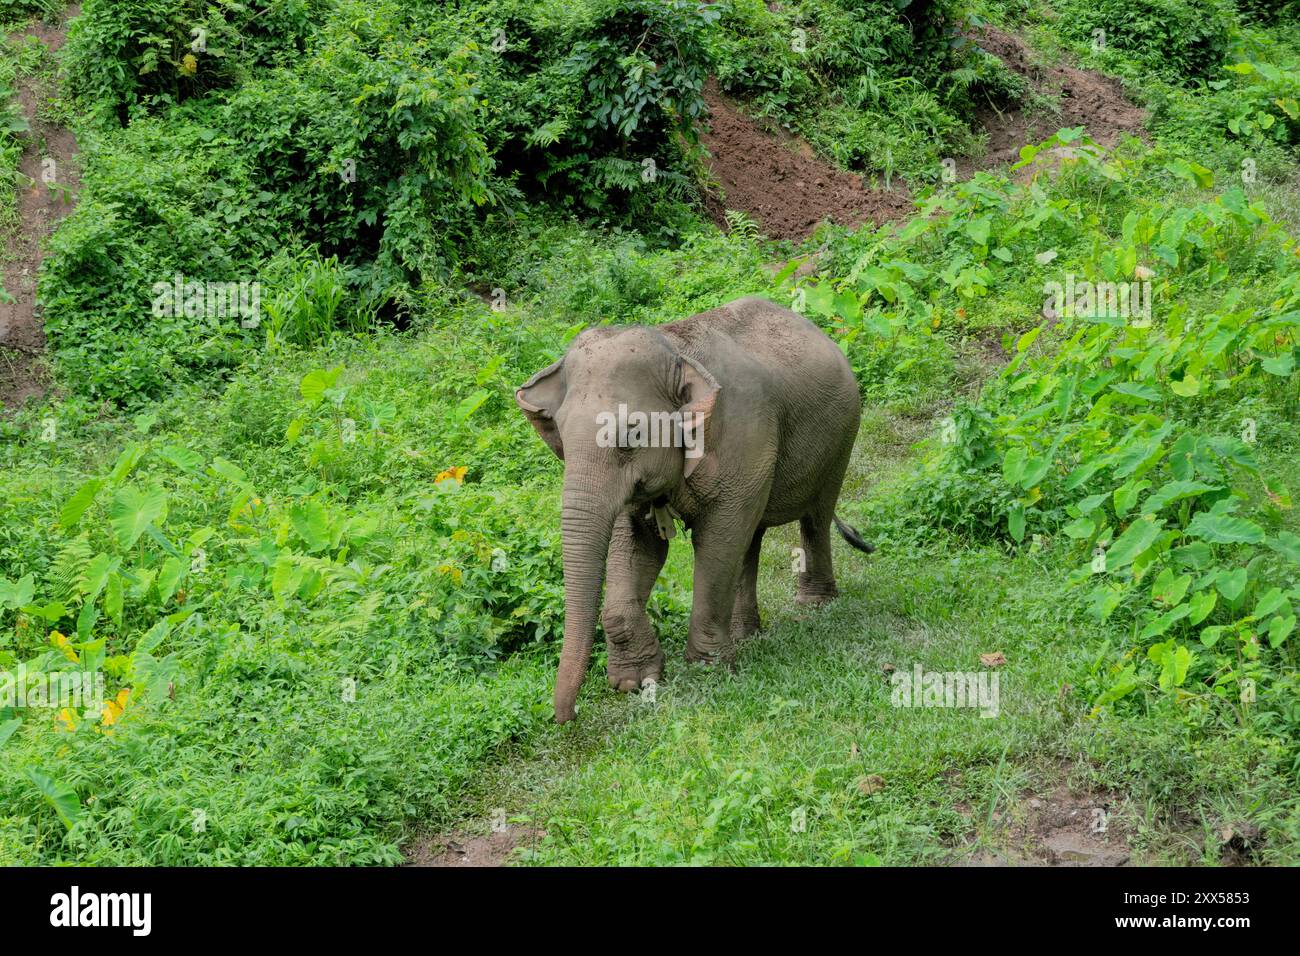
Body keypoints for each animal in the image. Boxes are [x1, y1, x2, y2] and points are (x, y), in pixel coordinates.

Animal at [515, 296, 873, 723]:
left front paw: (709, 670)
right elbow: (638, 545)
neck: (674, 350)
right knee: (751, 536)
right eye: (562, 439)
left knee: (813, 516)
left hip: (843, 432)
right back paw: (745, 634)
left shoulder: (743, 436)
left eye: (631, 435)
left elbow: (717, 540)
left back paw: (814, 606)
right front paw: (635, 682)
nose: (567, 717)